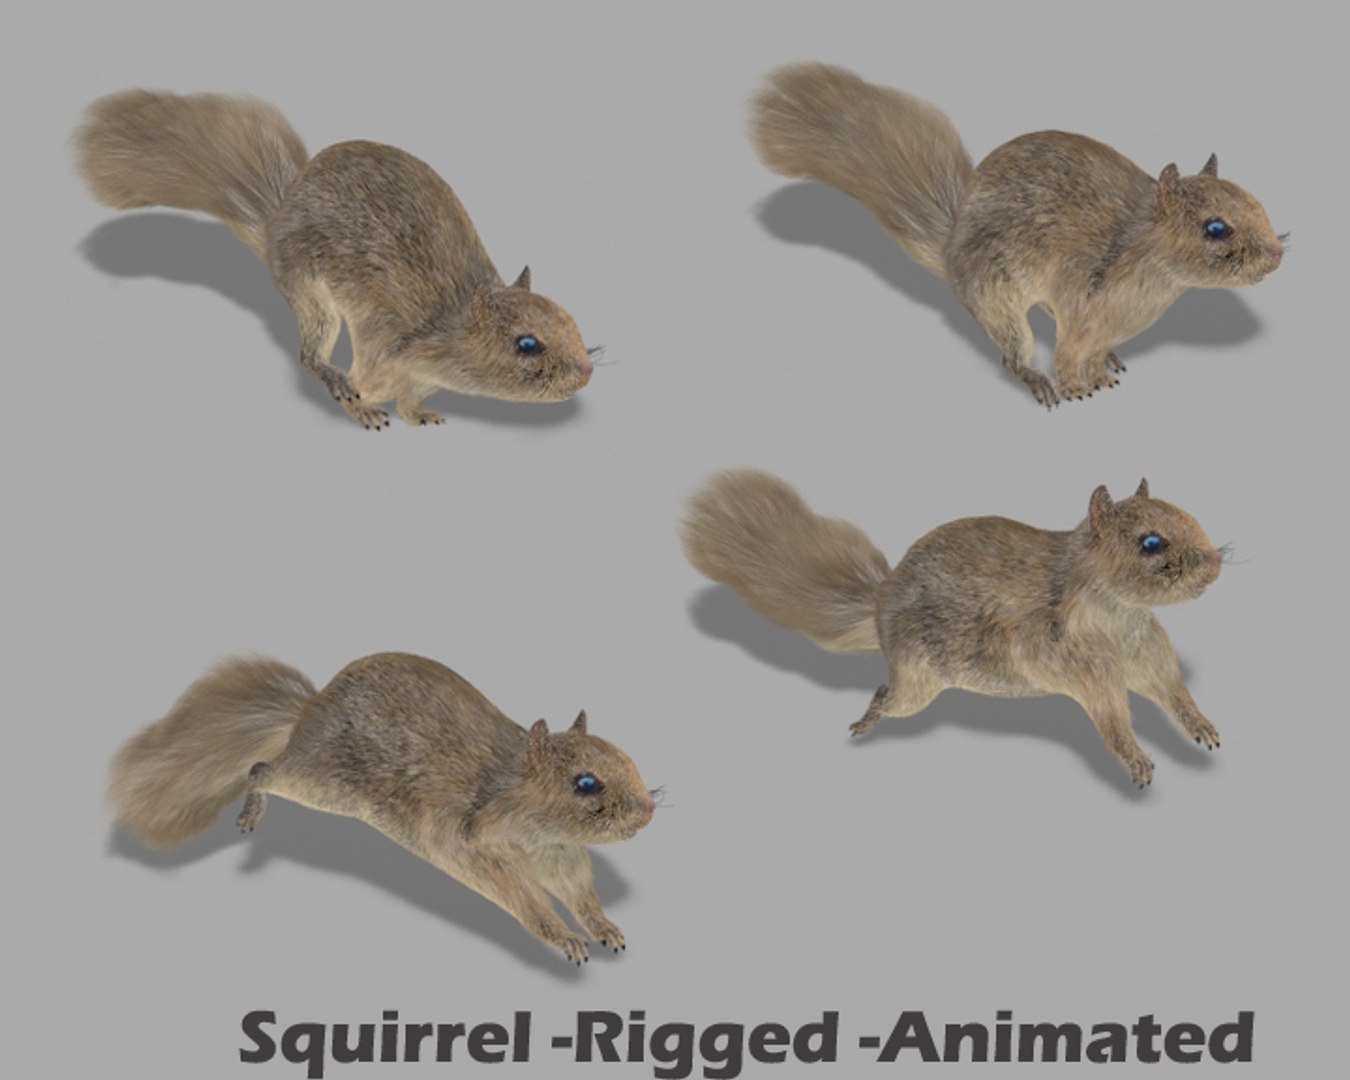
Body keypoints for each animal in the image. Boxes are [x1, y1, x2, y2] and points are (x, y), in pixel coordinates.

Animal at [75, 90, 597, 429]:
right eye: (526, 345)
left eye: (571, 322)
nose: (587, 372)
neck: (446, 336)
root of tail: (275, 221)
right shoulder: (386, 350)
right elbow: (365, 383)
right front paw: (361, 408)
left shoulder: (419, 377)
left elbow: (412, 401)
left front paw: (419, 416)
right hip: (311, 293)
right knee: (309, 355)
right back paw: (335, 378)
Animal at [108, 652, 657, 965]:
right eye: (585, 783)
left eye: (629, 758)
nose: (649, 810)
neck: (540, 831)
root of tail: (307, 713)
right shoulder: (479, 847)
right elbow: (526, 902)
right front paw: (565, 939)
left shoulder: (564, 860)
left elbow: (582, 896)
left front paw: (604, 928)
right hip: (323, 783)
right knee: (262, 769)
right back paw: (249, 814)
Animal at [681, 469, 1226, 788]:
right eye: (1150, 542)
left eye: (1188, 515)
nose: (1216, 565)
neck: (1118, 615)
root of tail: (880, 602)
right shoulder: (1069, 657)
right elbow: (1111, 716)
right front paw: (1136, 758)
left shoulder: (1145, 652)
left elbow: (1171, 690)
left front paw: (1202, 725)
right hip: (916, 685)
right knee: (885, 694)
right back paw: (864, 723)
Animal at [749, 62, 1287, 407]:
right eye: (1215, 228)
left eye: (1257, 202)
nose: (1276, 256)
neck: (1152, 284)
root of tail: (950, 249)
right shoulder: (1078, 301)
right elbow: (1069, 354)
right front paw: (1076, 387)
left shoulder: (1096, 322)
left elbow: (1095, 350)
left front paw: (1104, 368)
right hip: (997, 298)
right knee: (1012, 355)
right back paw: (1037, 379)